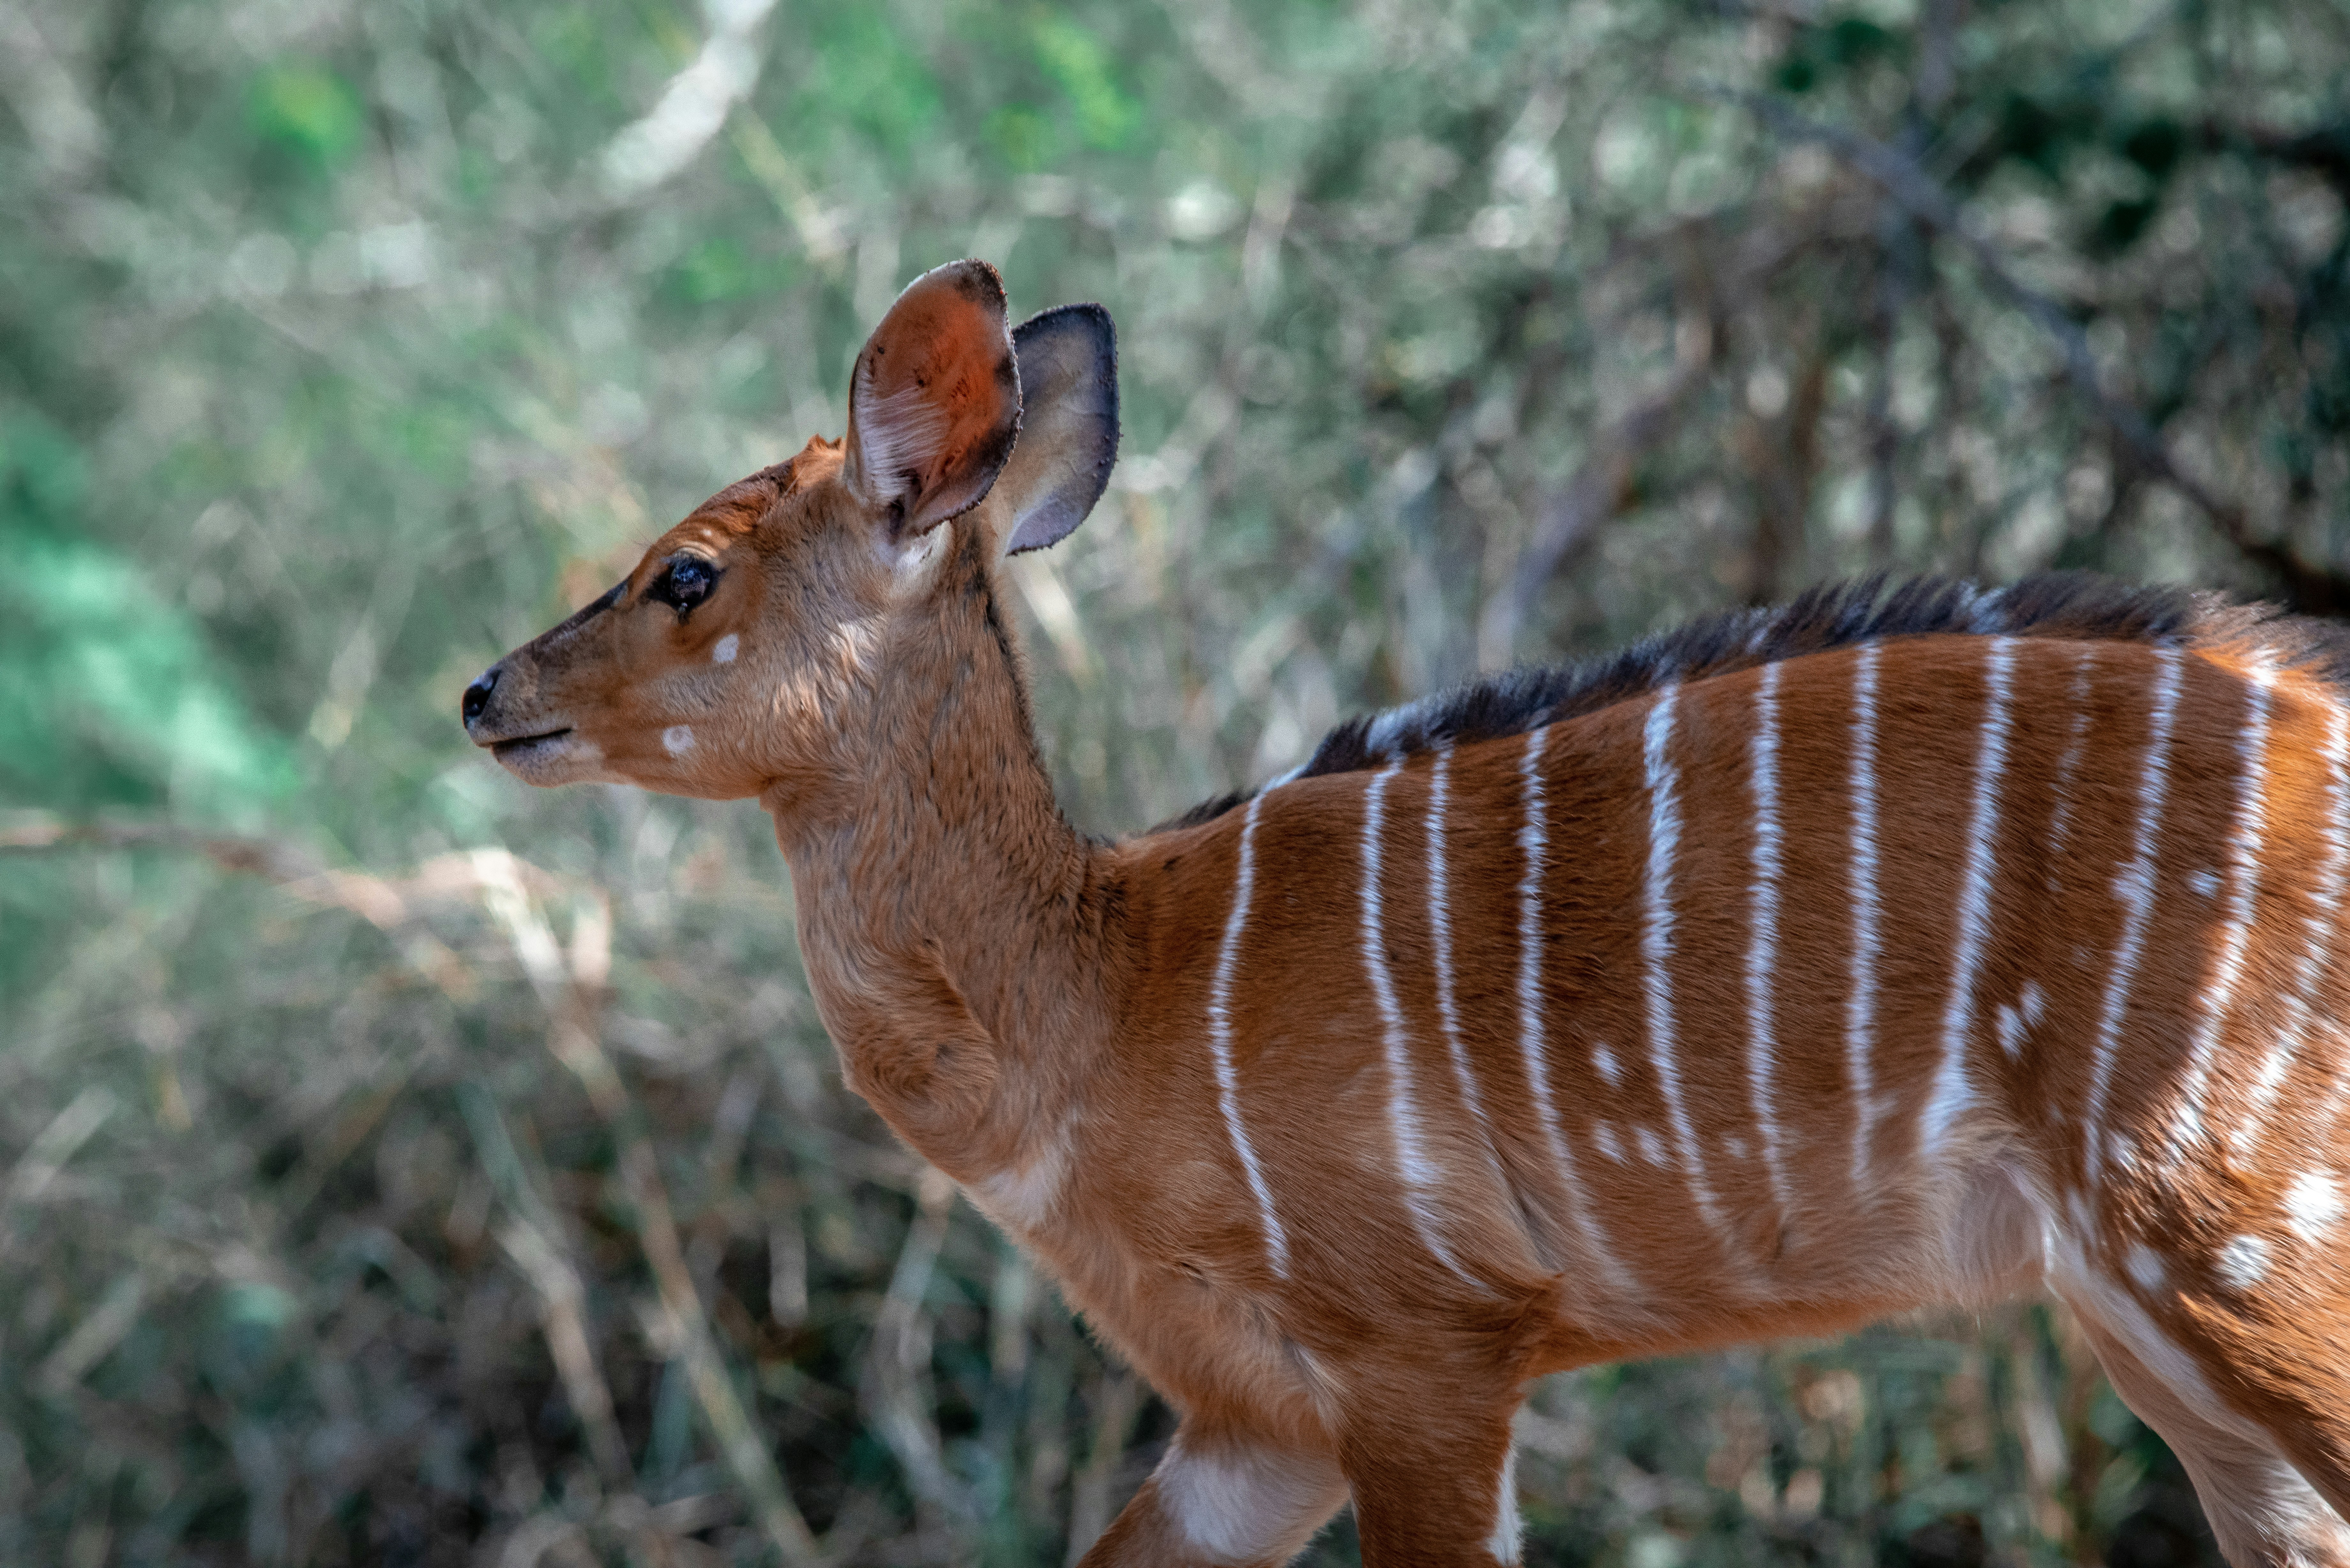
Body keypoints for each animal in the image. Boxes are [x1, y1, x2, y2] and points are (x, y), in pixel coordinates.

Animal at [462, 258, 2350, 1567]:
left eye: (685, 572)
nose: (486, 692)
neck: (1103, 1006)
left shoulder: (1431, 1341)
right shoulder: (1250, 1422)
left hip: (2238, 1238)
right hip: (2147, 1321)